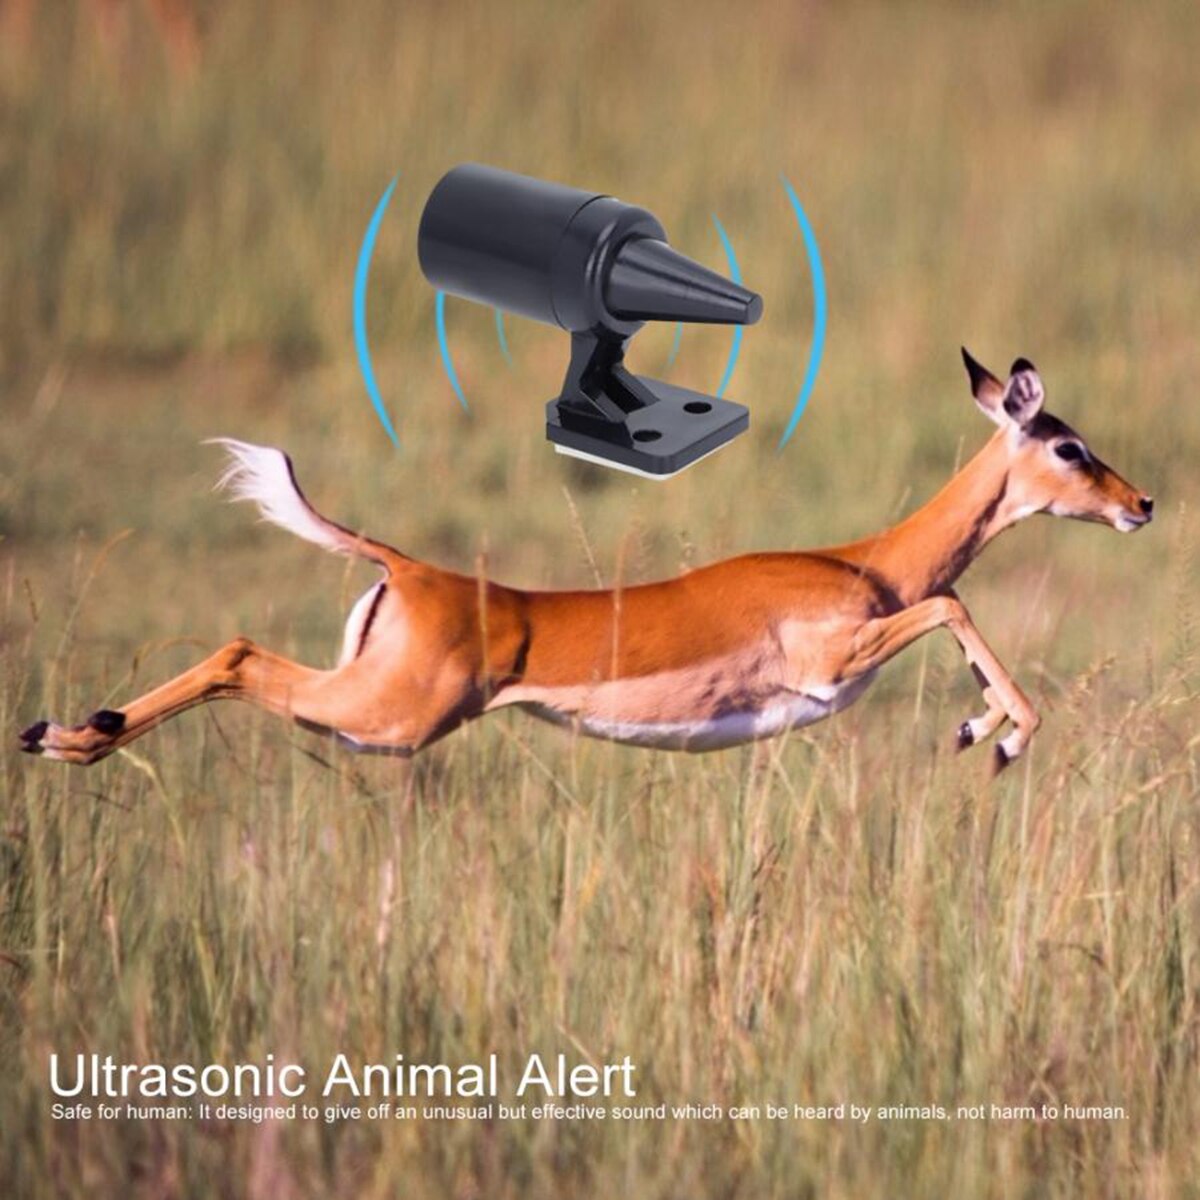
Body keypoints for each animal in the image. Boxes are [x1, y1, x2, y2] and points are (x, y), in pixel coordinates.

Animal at [18, 350, 1153, 774]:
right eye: (1068, 446)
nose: (1141, 503)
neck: (863, 563)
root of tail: (409, 569)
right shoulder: (835, 658)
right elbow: (955, 609)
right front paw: (1006, 736)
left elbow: (957, 615)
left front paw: (975, 727)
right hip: (389, 720)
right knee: (240, 652)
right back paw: (68, 739)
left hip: (363, 710)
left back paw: (61, 736)